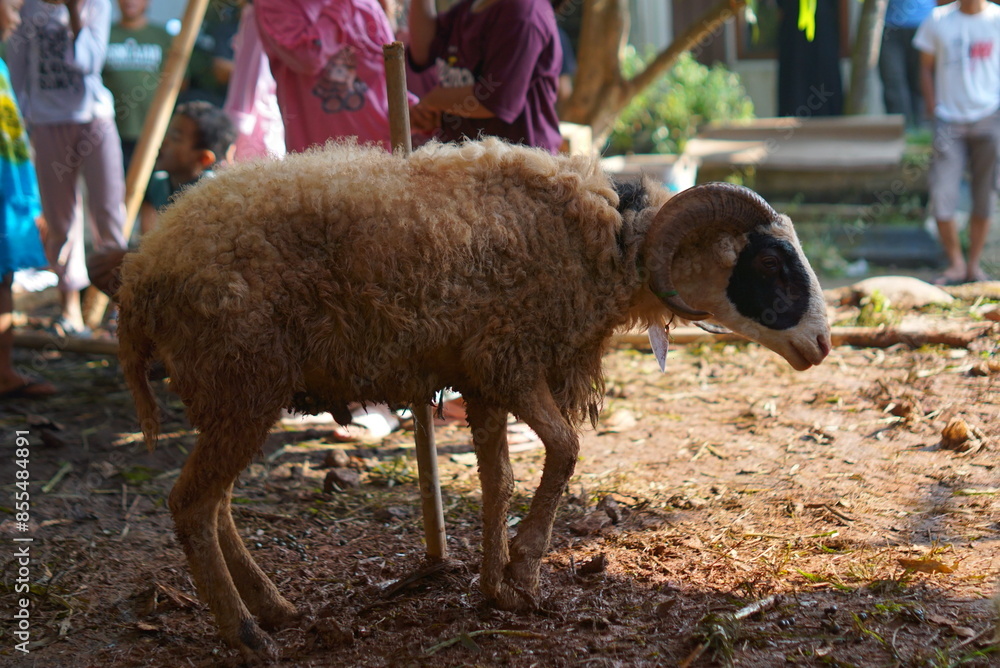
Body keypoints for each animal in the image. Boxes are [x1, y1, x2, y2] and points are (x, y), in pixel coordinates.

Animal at [116, 137, 832, 661]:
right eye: (770, 263)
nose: (822, 345)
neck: (608, 239)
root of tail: (141, 274)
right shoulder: (510, 360)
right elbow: (565, 450)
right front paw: (526, 572)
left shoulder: (484, 379)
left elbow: (499, 479)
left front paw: (496, 590)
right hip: (240, 381)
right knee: (190, 506)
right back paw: (245, 636)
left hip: (230, 392)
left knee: (216, 505)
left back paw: (274, 608)